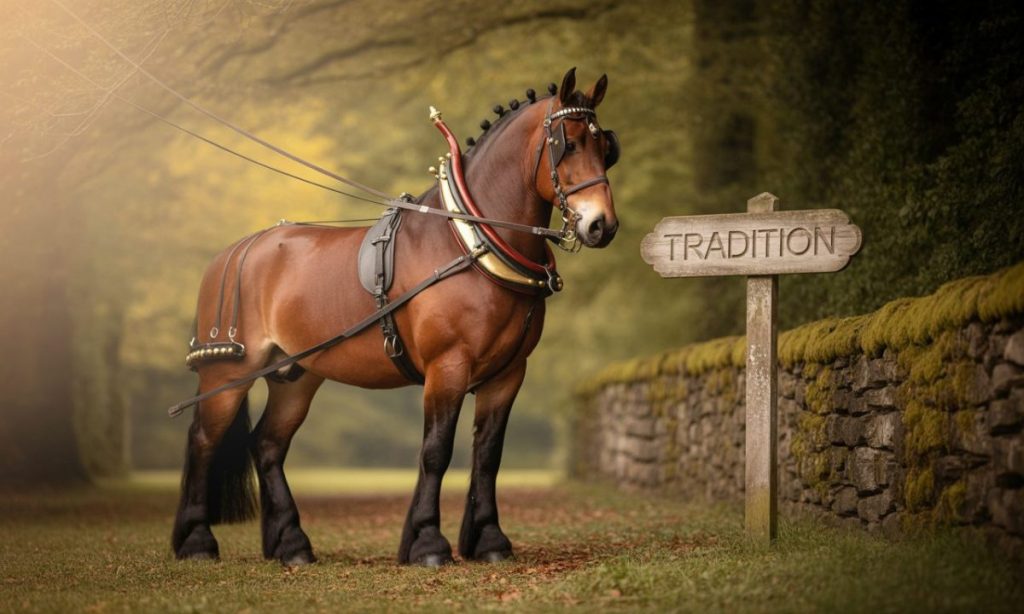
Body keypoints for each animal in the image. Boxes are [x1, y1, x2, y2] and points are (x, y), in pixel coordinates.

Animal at [171, 68, 620, 567]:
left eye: (606, 147)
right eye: (569, 144)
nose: (602, 225)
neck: (470, 244)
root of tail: (237, 250)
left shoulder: (508, 374)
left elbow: (487, 455)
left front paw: (488, 540)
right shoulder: (447, 367)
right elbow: (436, 452)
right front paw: (426, 542)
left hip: (296, 376)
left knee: (267, 445)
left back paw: (291, 544)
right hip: (228, 372)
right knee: (203, 440)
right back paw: (196, 542)